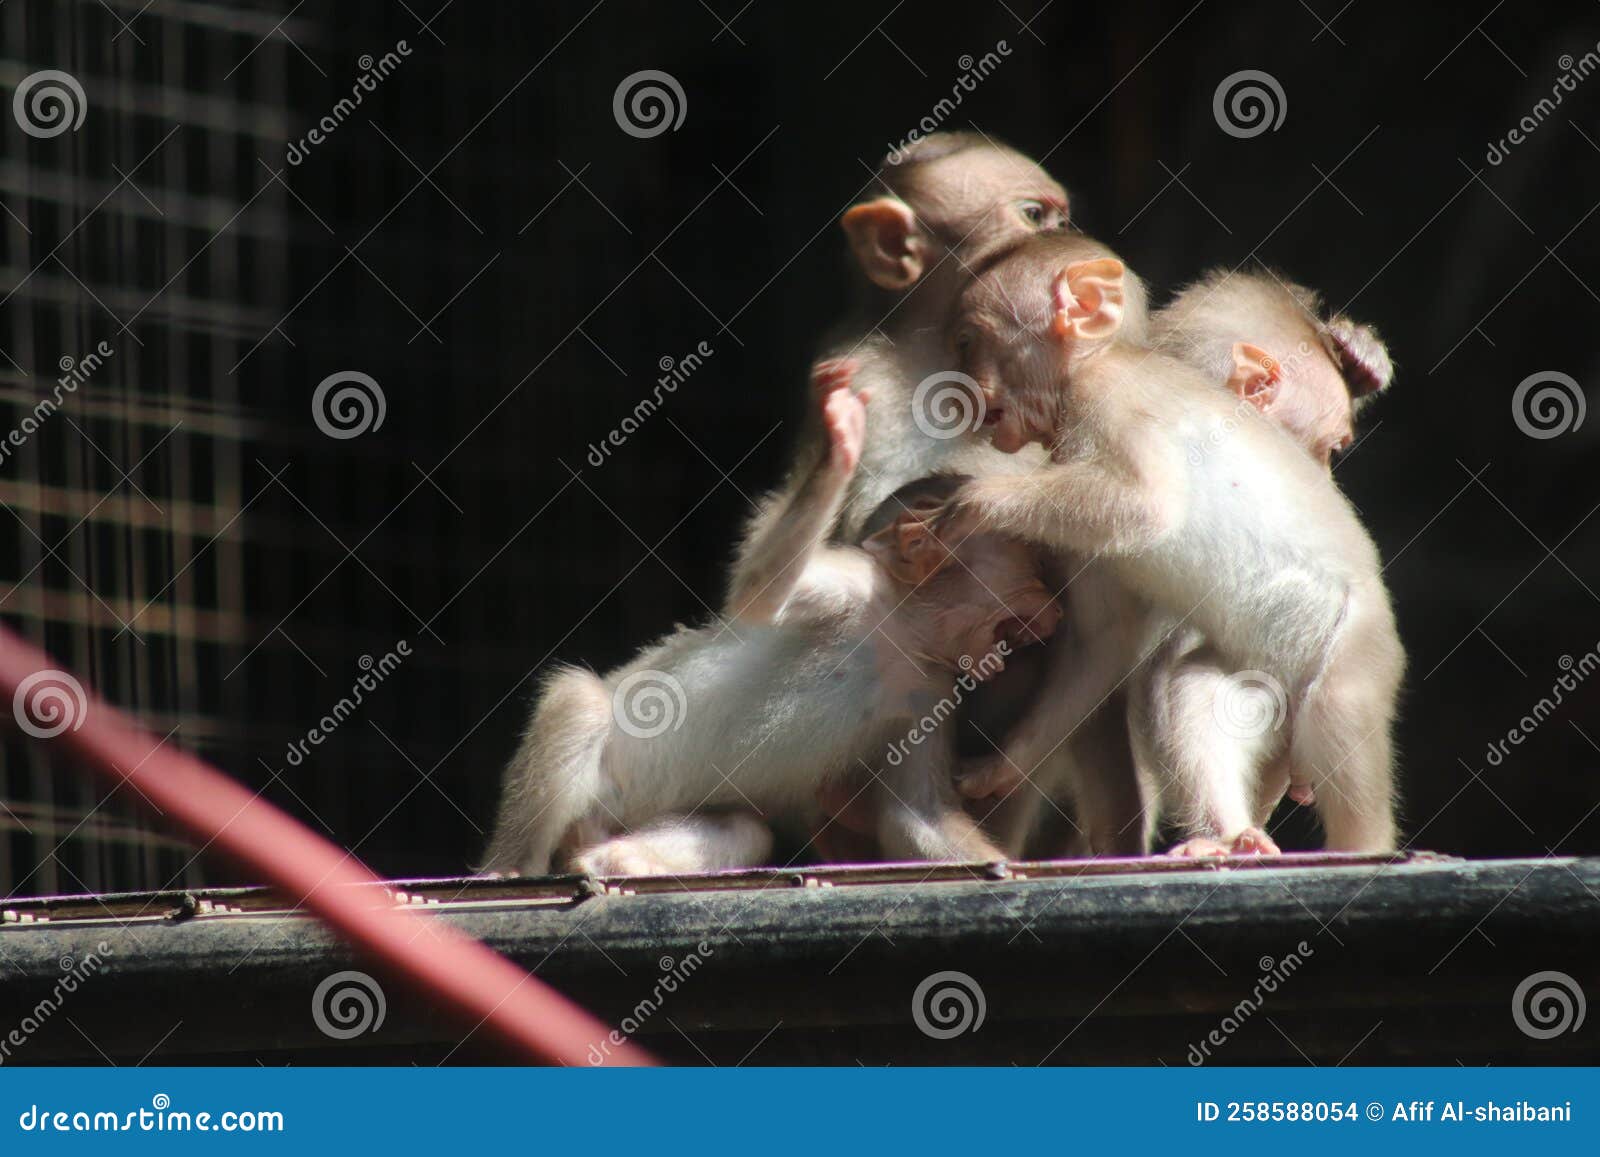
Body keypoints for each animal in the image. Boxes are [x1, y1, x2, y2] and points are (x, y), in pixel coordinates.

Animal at [483, 363, 1062, 876]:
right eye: (1032, 574)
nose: (1052, 616)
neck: (900, 635)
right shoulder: (853, 589)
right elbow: (759, 600)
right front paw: (838, 444)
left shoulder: (931, 690)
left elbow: (915, 817)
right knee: (580, 703)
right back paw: (509, 870)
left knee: (745, 830)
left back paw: (611, 860)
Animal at [937, 233, 1404, 854]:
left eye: (969, 342)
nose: (962, 385)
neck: (1093, 367)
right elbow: (1103, 641)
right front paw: (1001, 767)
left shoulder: (1110, 401)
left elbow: (1150, 507)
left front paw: (979, 502)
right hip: (1265, 684)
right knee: (1194, 689)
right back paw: (1230, 835)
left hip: (1356, 651)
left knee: (1338, 713)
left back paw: (1364, 847)